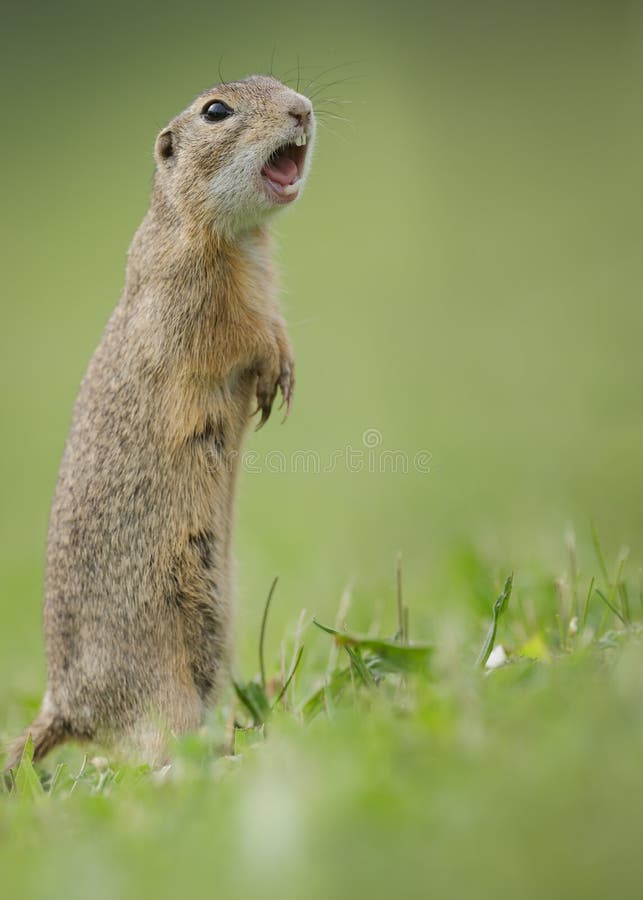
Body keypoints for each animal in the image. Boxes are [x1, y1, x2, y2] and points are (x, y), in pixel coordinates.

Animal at [5, 75, 315, 770]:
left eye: (279, 84)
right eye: (216, 111)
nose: (304, 108)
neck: (237, 238)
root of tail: (64, 706)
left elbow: (275, 325)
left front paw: (285, 370)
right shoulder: (190, 296)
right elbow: (237, 336)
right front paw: (271, 365)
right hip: (158, 680)